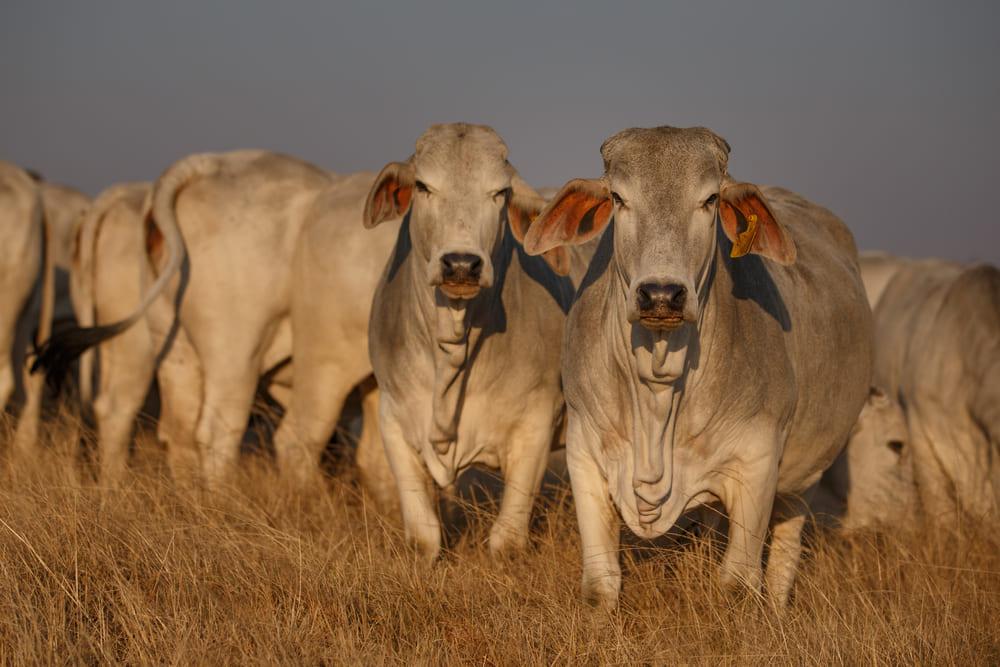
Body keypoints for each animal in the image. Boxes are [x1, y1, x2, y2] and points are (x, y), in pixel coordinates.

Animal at [364, 123, 574, 560]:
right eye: (423, 186)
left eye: (499, 192)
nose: (461, 263)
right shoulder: (393, 416)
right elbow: (423, 534)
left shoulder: (536, 425)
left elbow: (507, 540)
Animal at [523, 126, 873, 608]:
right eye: (618, 198)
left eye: (709, 199)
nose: (661, 295)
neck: (658, 384)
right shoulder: (584, 457)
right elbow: (599, 585)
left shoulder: (757, 468)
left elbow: (739, 583)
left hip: (802, 480)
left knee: (784, 555)